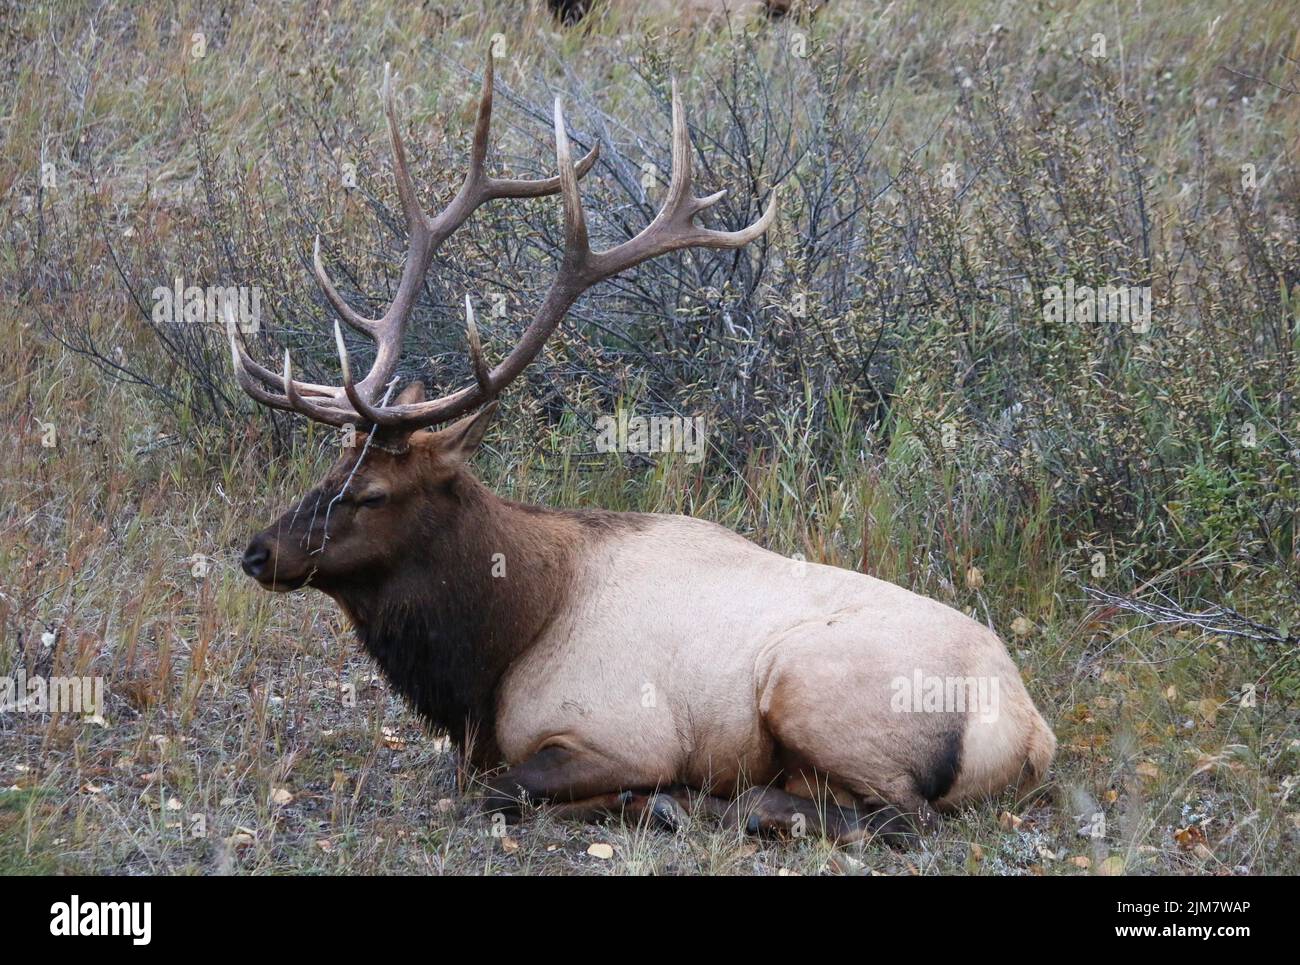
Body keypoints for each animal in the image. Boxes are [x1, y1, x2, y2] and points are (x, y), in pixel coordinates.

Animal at [231, 54, 1056, 843]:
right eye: (331, 468)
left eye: (371, 493)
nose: (257, 551)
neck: (497, 648)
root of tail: (1030, 731)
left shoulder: (621, 732)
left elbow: (502, 790)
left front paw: (648, 799)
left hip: (806, 682)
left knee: (894, 819)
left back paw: (711, 805)